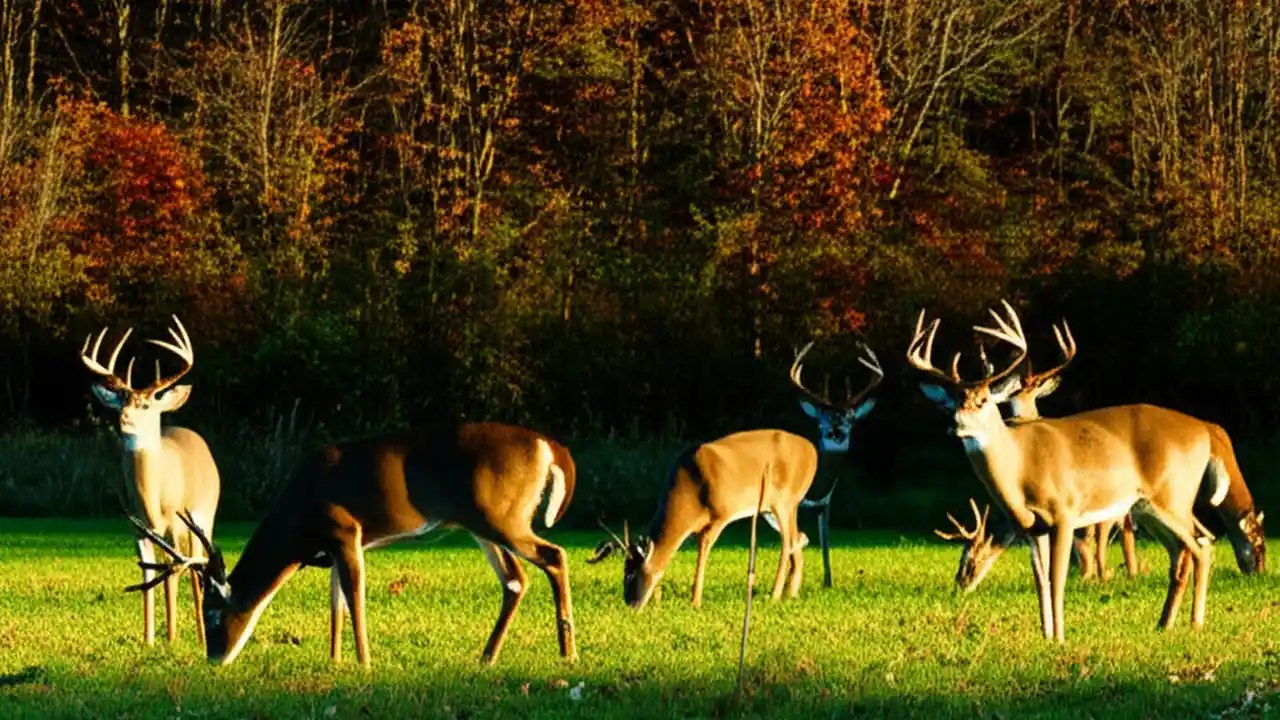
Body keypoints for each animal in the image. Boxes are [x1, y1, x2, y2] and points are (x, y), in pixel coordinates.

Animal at [80, 315, 220, 648]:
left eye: (145, 405)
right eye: (120, 403)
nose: (122, 421)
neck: (152, 502)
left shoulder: (172, 522)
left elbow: (172, 573)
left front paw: (171, 638)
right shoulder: (137, 529)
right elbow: (147, 575)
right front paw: (149, 639)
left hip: (205, 515)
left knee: (199, 563)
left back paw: (201, 635)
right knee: (194, 565)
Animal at [127, 422, 577, 668]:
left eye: (215, 614)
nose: (214, 658)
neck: (299, 519)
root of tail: (551, 447)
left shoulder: (345, 529)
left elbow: (355, 594)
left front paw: (364, 662)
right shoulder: (331, 545)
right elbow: (337, 601)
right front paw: (336, 659)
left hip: (501, 517)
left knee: (554, 555)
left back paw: (567, 652)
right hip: (481, 524)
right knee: (516, 580)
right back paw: (487, 656)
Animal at [587, 429, 818, 609]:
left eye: (630, 574)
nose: (631, 604)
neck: (690, 491)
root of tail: (812, 451)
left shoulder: (720, 515)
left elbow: (703, 548)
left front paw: (695, 601)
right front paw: (658, 600)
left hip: (782, 501)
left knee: (787, 542)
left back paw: (775, 595)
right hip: (777, 508)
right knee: (799, 537)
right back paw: (791, 593)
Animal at [788, 340, 883, 587]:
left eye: (851, 418)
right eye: (821, 419)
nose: (836, 432)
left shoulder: (826, 502)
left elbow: (826, 543)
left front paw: (828, 582)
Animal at [907, 301, 1232, 641]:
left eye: (983, 400)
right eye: (953, 403)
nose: (955, 425)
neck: (1019, 467)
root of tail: (1204, 431)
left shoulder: (1064, 512)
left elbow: (1058, 578)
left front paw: (1060, 638)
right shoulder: (1032, 528)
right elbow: (1041, 582)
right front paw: (1046, 636)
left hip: (1173, 495)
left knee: (1201, 545)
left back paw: (1195, 623)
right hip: (1148, 508)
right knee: (1182, 551)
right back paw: (1165, 623)